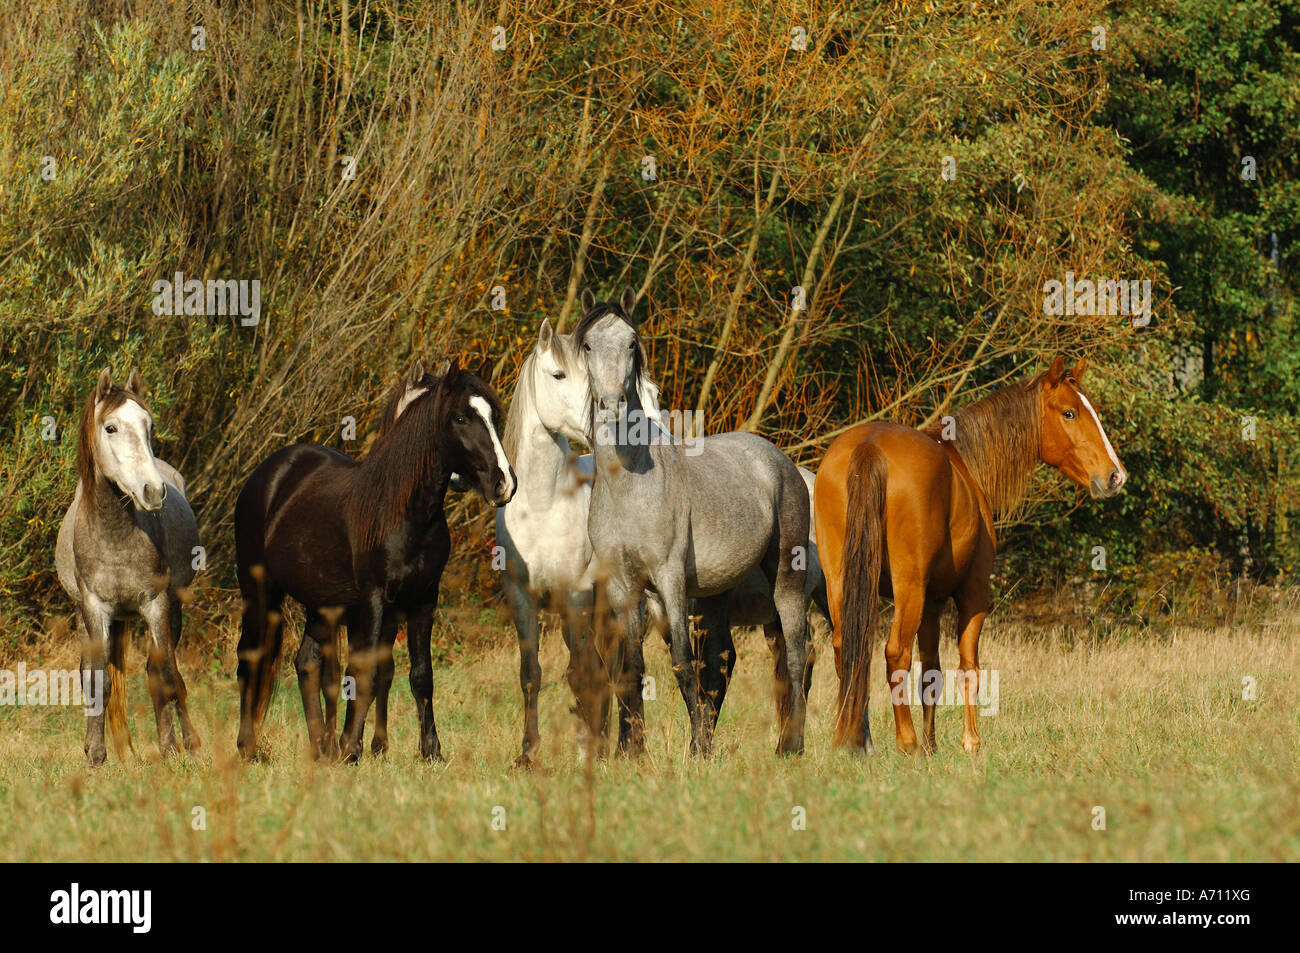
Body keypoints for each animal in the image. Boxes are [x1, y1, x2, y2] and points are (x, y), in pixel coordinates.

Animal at [55, 367, 201, 765]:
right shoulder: (95, 608)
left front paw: (175, 748)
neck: (114, 533)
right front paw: (96, 755)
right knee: (94, 673)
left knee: (166, 671)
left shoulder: (157, 604)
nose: (153, 491)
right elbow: (99, 679)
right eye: (111, 428)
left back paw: (184, 741)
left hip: (172, 609)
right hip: (89, 616)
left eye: (149, 425)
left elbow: (166, 675)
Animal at [233, 358, 515, 762]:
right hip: (259, 591)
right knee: (250, 659)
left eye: (493, 415)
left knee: (307, 663)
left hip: (319, 604)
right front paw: (352, 749)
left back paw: (320, 748)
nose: (504, 483)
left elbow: (420, 674)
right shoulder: (373, 601)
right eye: (460, 418)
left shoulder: (423, 600)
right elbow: (364, 673)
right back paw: (249, 748)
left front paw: (430, 750)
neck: (401, 513)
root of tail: (268, 474)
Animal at [575, 288, 813, 757]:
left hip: (786, 582)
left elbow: (682, 664)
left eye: (632, 343)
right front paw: (631, 751)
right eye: (589, 345)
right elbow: (632, 668)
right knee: (724, 660)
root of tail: (781, 462)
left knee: (796, 655)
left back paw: (791, 746)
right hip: (717, 594)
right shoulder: (623, 587)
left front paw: (700, 748)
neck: (629, 485)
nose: (610, 405)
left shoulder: (669, 579)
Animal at [815, 356, 1127, 756]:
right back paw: (907, 742)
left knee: (846, 649)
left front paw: (933, 746)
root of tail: (869, 447)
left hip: (841, 582)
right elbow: (969, 668)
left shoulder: (932, 604)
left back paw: (854, 740)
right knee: (895, 653)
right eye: (1069, 412)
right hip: (907, 588)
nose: (1115, 476)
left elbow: (931, 673)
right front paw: (970, 743)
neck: (965, 463)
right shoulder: (973, 594)